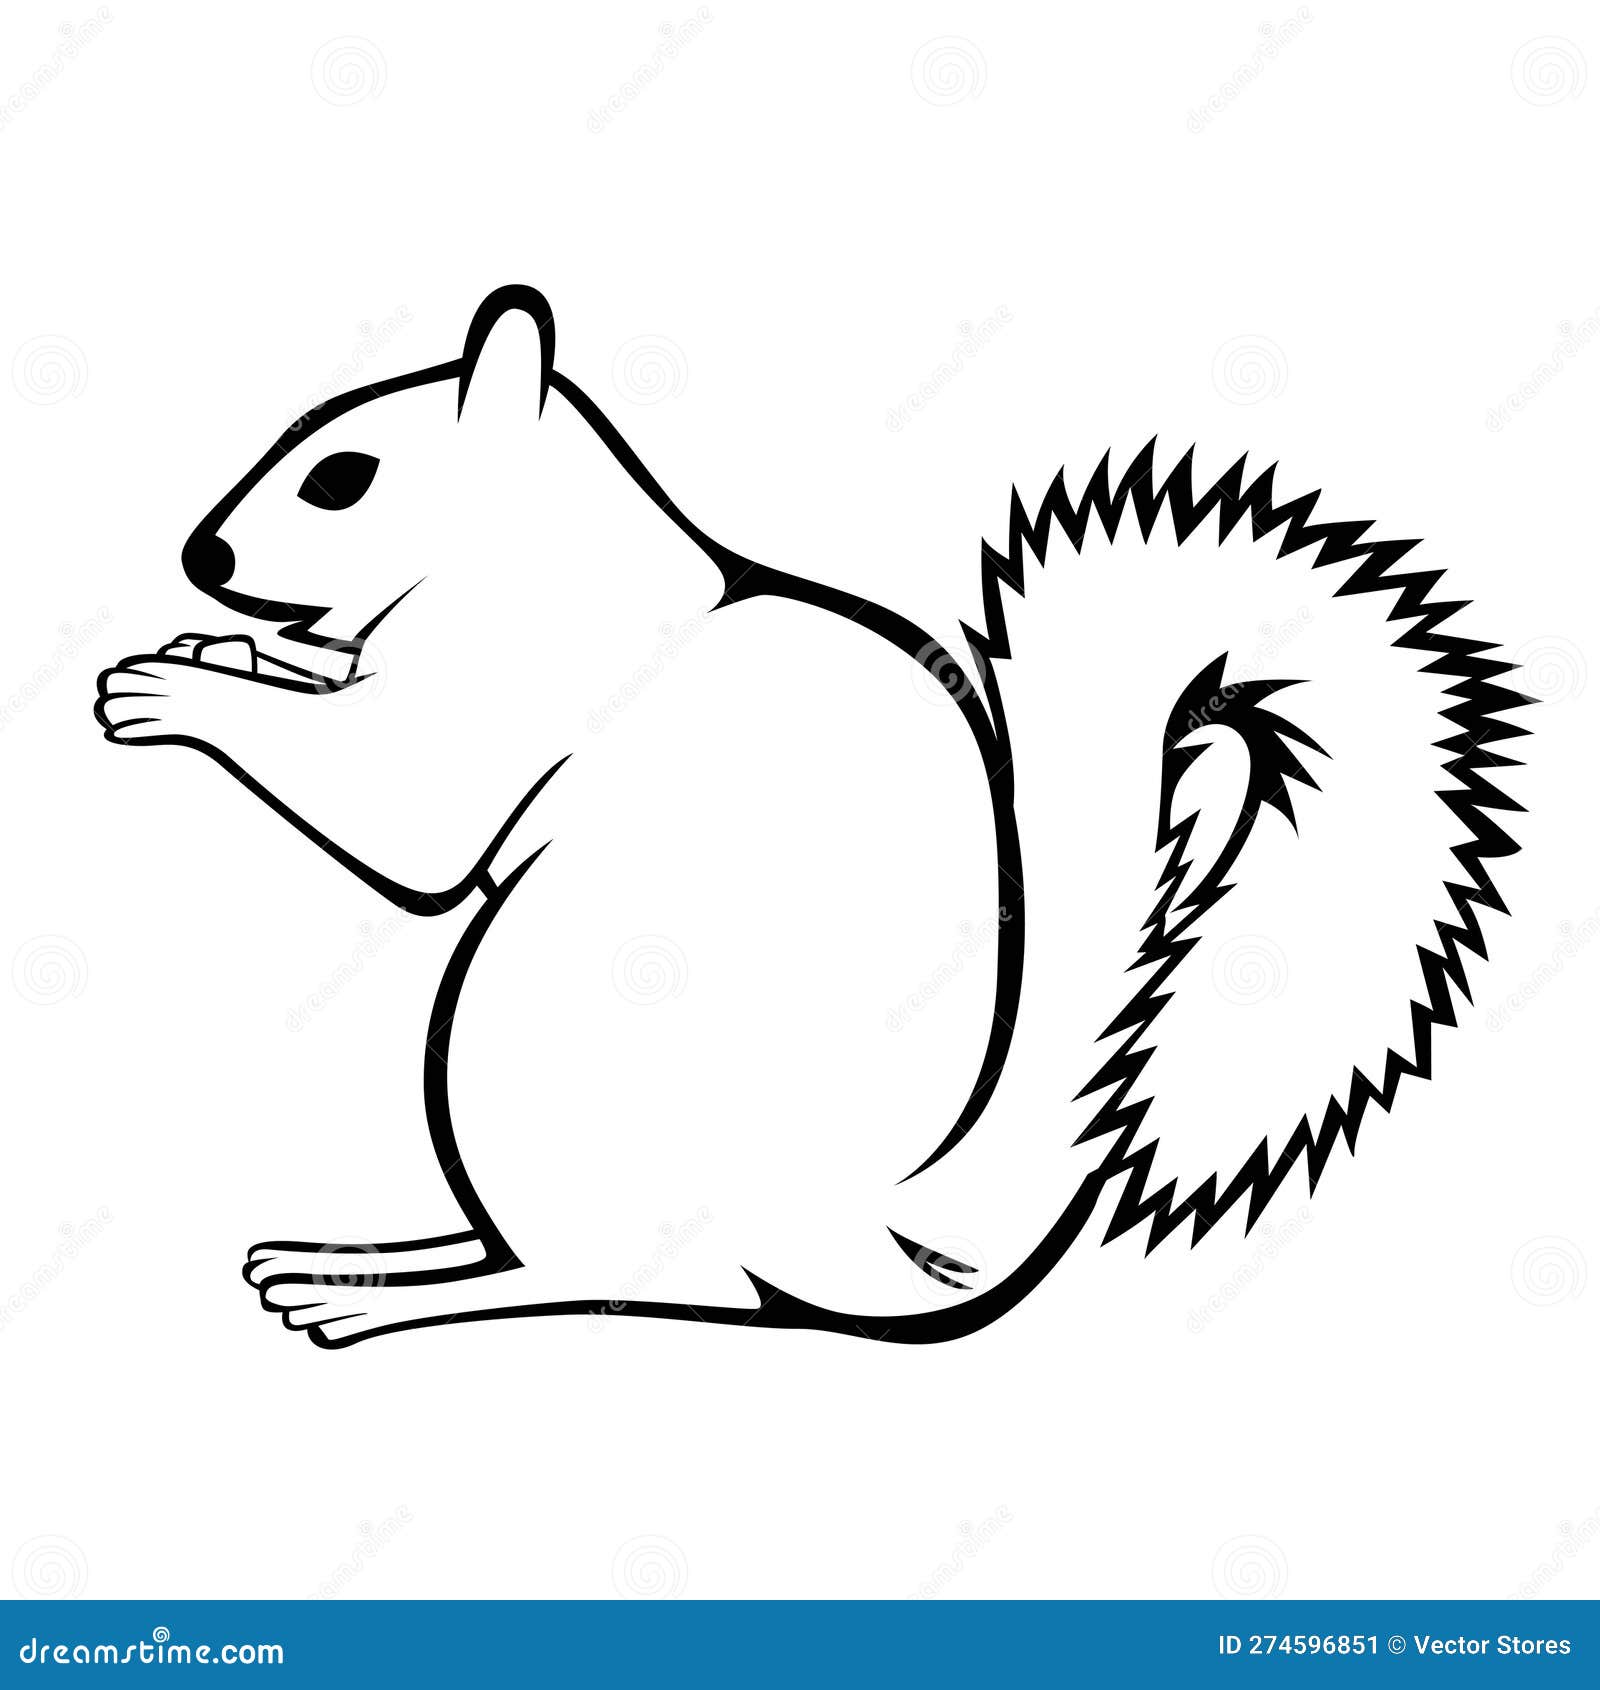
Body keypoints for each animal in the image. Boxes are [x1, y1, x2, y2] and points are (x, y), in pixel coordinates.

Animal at [95, 285, 1528, 1348]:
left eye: (342, 477)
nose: (202, 561)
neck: (531, 559)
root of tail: (837, 1234)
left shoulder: (506, 697)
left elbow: (407, 806)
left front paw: (170, 692)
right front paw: (225, 656)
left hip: (528, 1062)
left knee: (642, 1282)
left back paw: (381, 1292)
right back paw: (382, 1253)